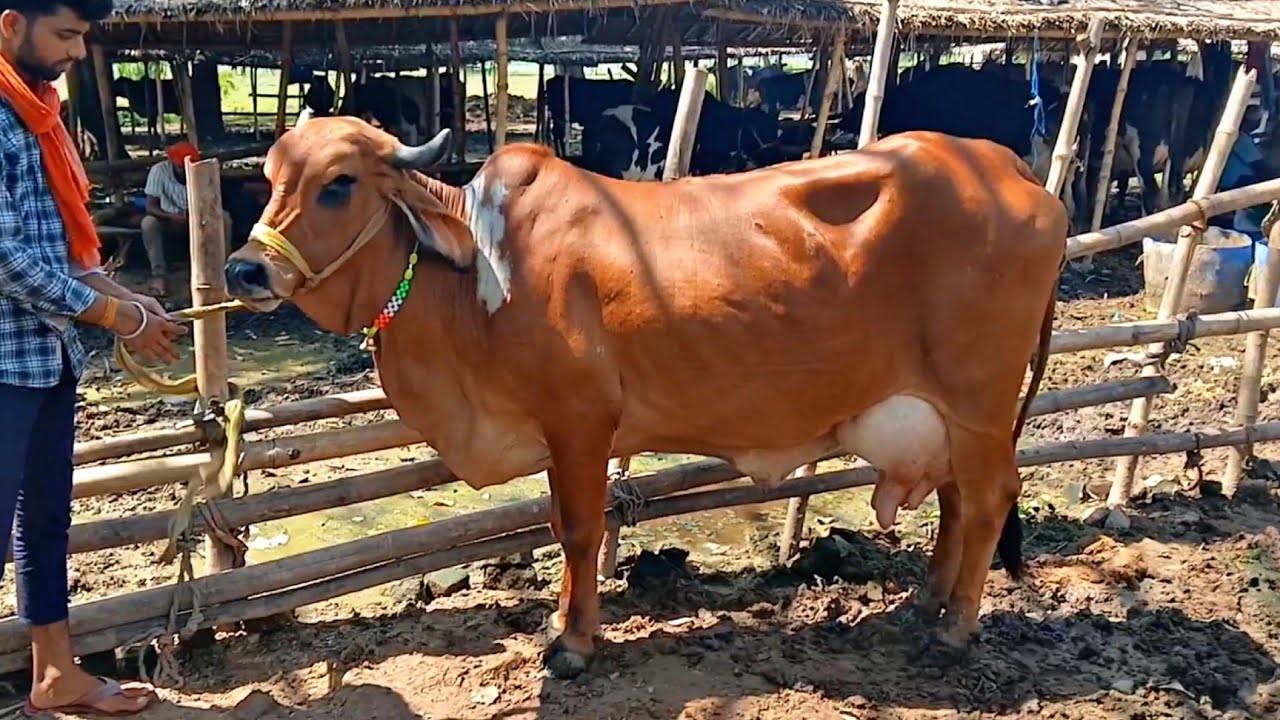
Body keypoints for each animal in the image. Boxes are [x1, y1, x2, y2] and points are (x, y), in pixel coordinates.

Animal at [223, 121, 1066, 680]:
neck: (473, 275)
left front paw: (572, 643)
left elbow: (577, 532)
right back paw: (928, 601)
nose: (243, 271)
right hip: (953, 416)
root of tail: (1018, 174)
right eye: (271, 177)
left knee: (990, 498)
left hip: (980, 401)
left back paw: (956, 628)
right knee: (957, 500)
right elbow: (561, 528)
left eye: (339, 183)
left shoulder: (580, 423)